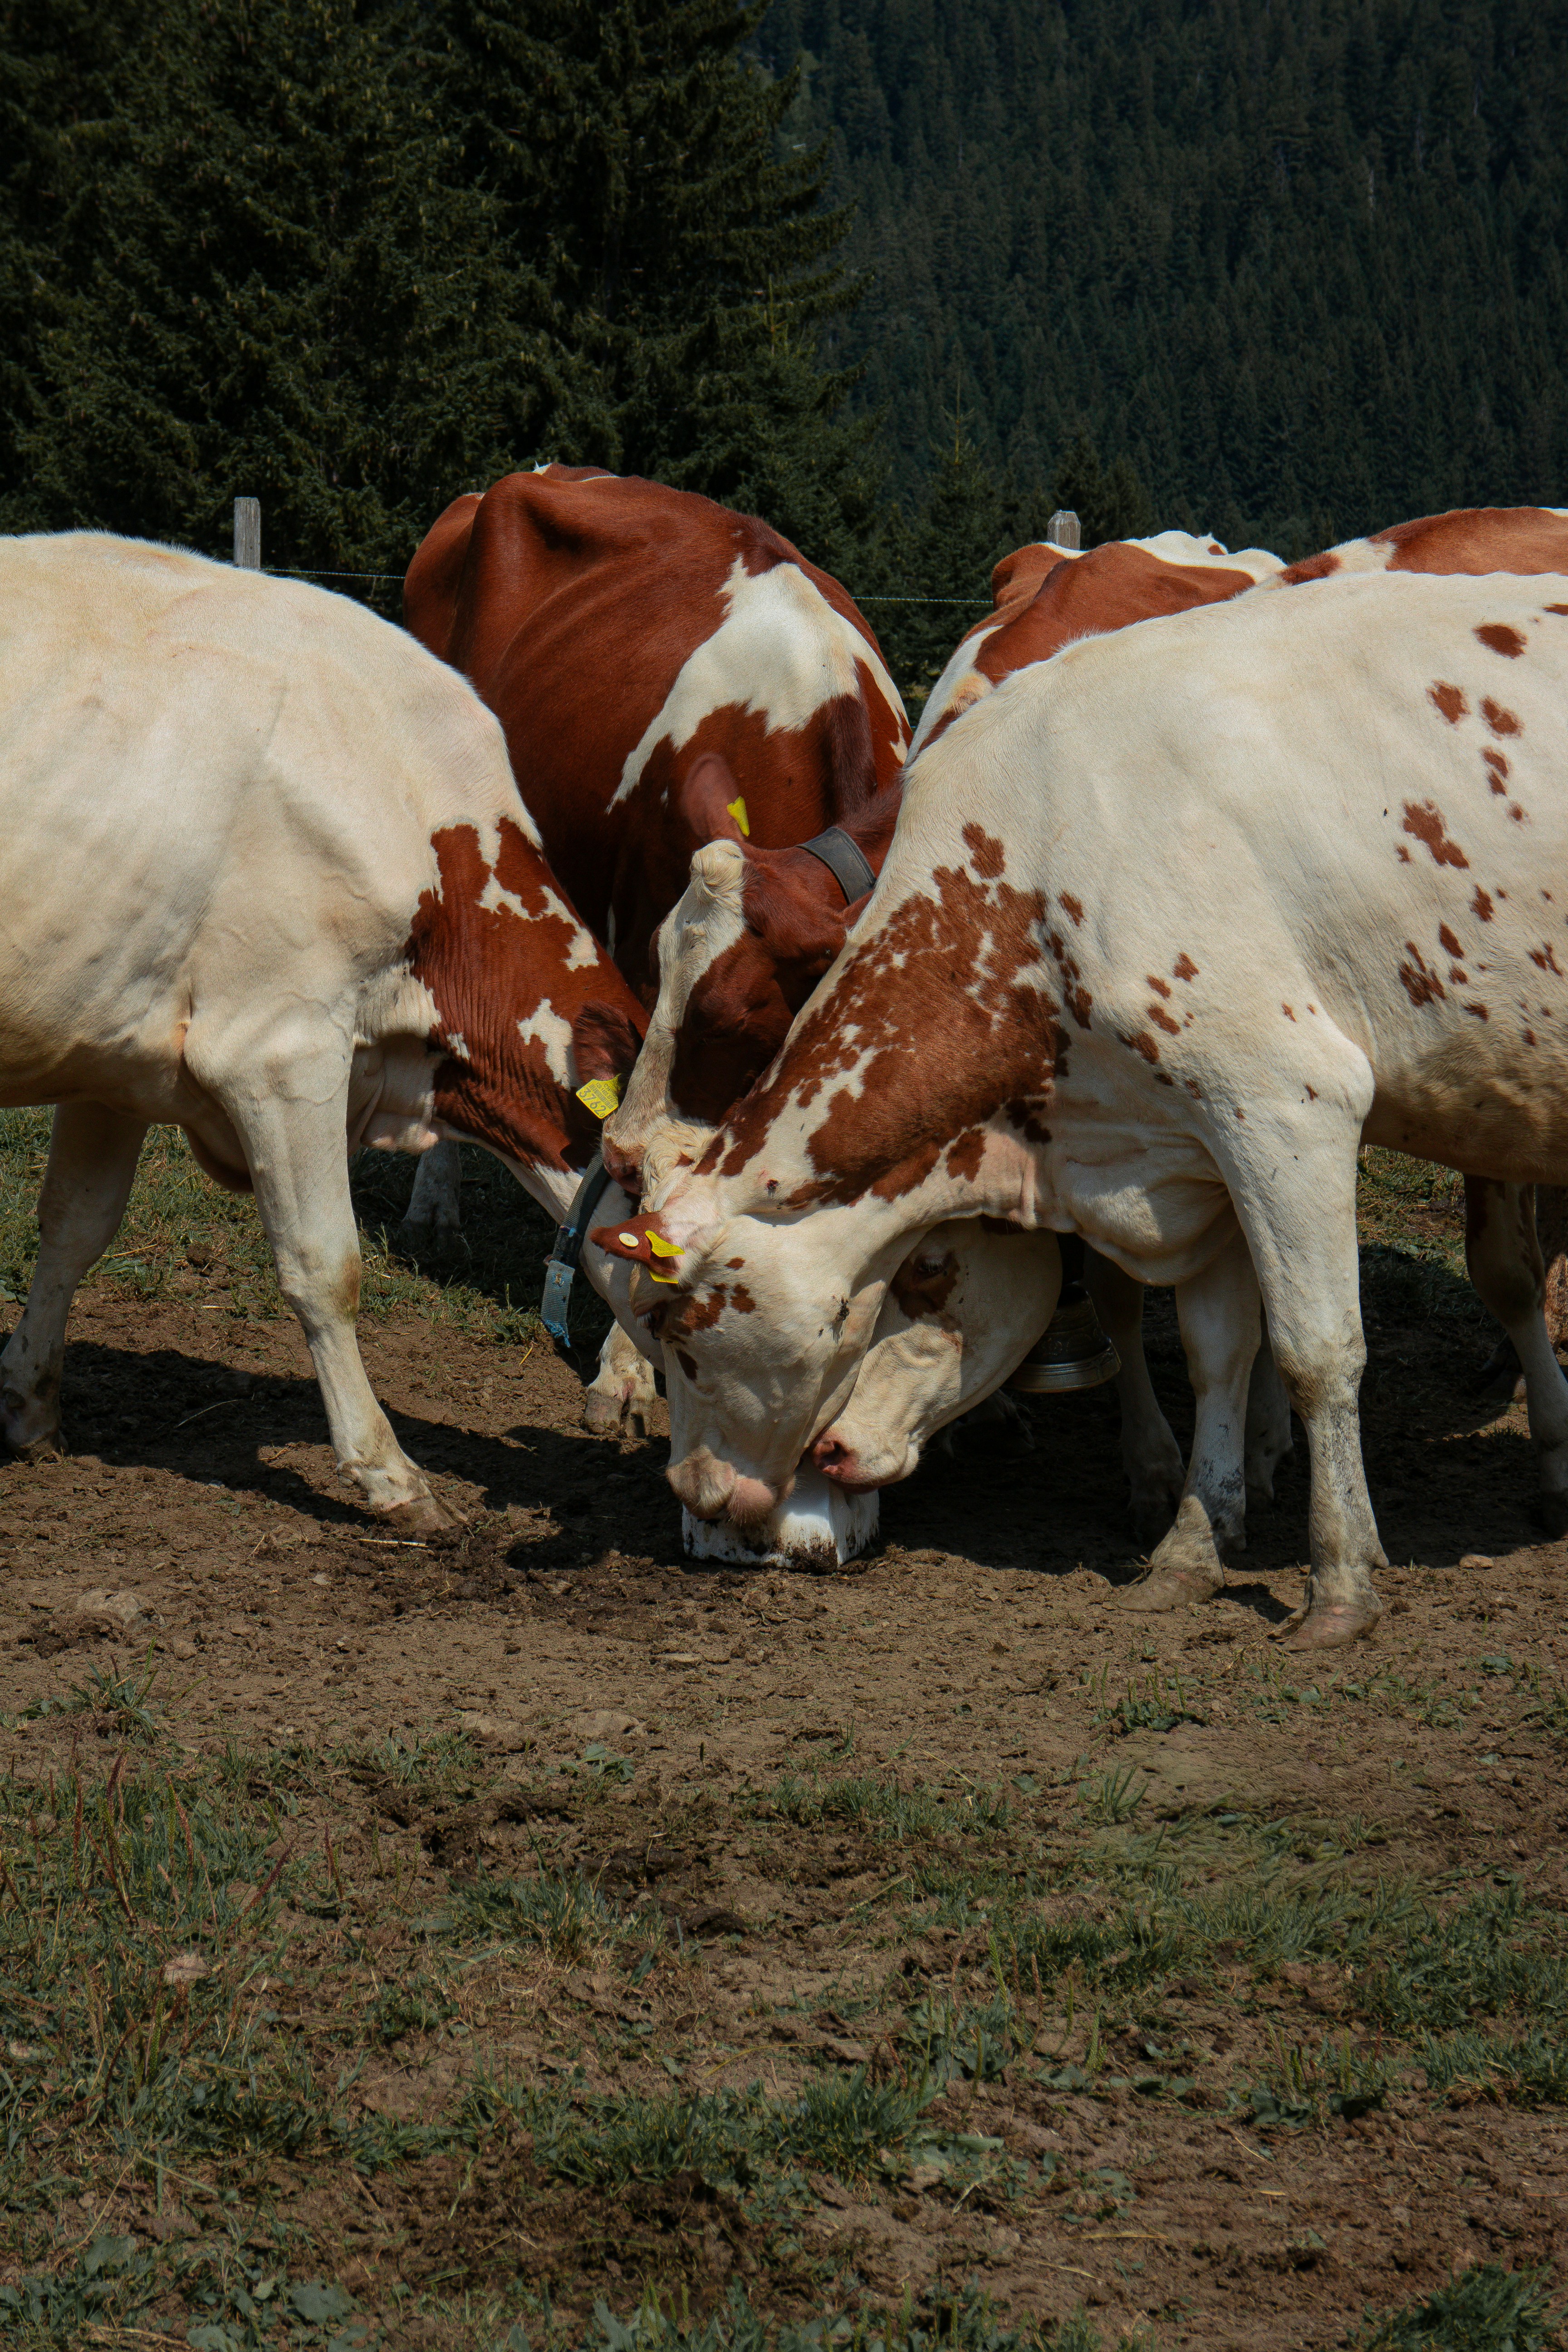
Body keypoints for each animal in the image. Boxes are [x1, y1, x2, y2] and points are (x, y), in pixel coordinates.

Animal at [0, 534, 647, 1529]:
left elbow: (74, 1223)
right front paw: (390, 1474)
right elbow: (326, 1267)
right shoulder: (281, 1050)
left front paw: (30, 1406)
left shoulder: (114, 1052)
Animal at [590, 568, 1568, 1650]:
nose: (697, 1487)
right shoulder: (1191, 1145)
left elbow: (1317, 1351)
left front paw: (1341, 1582)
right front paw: (1190, 1547)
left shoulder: (1284, 1104)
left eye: (679, 1329)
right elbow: (1217, 1347)